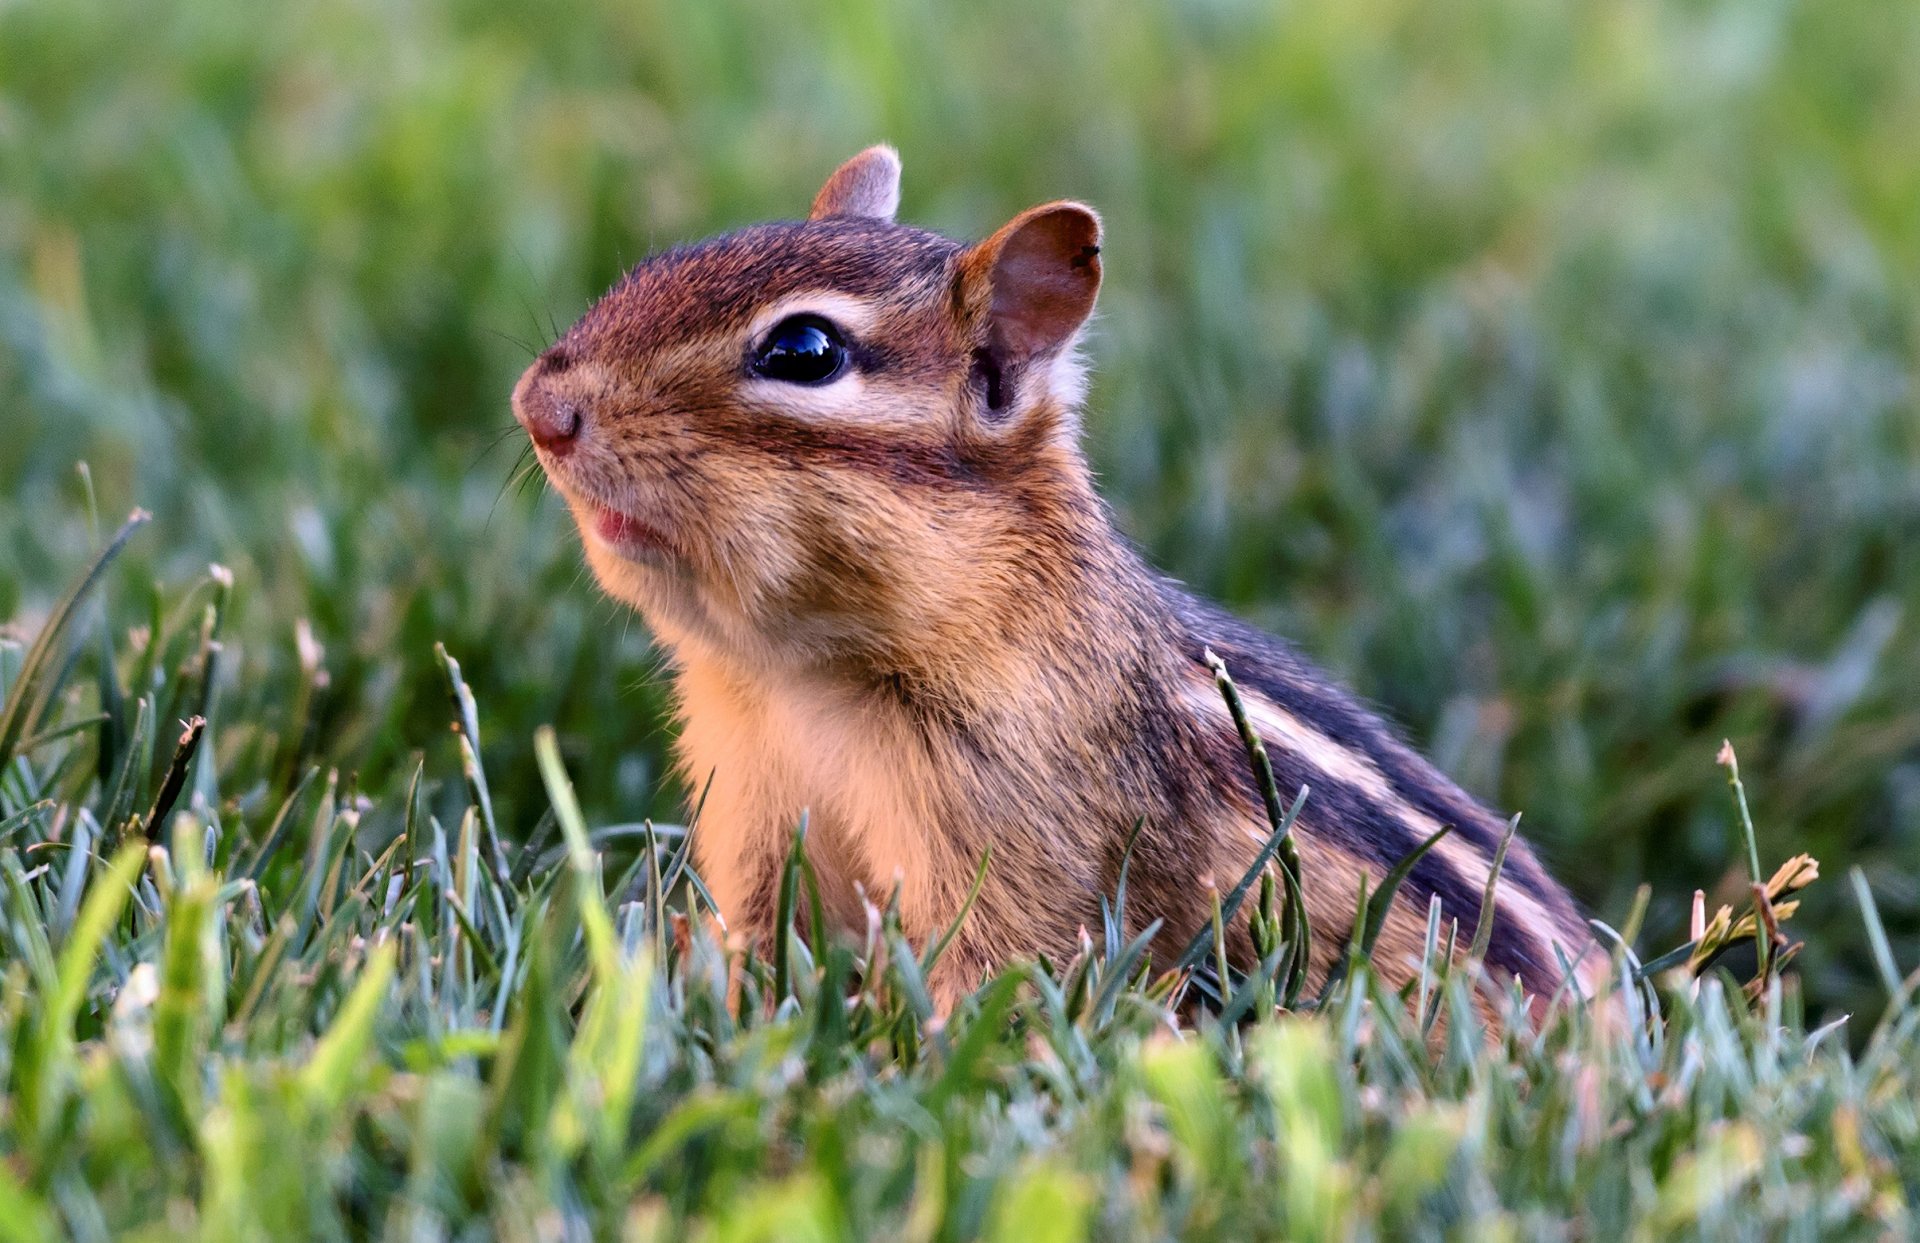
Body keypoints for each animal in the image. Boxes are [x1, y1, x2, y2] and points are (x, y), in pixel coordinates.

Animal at [513, 146, 1604, 1016]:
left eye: (804, 351)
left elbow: (990, 979)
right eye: (656, 264)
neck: (798, 680)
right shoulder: (752, 820)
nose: (539, 408)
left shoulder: (1014, 850)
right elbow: (752, 946)